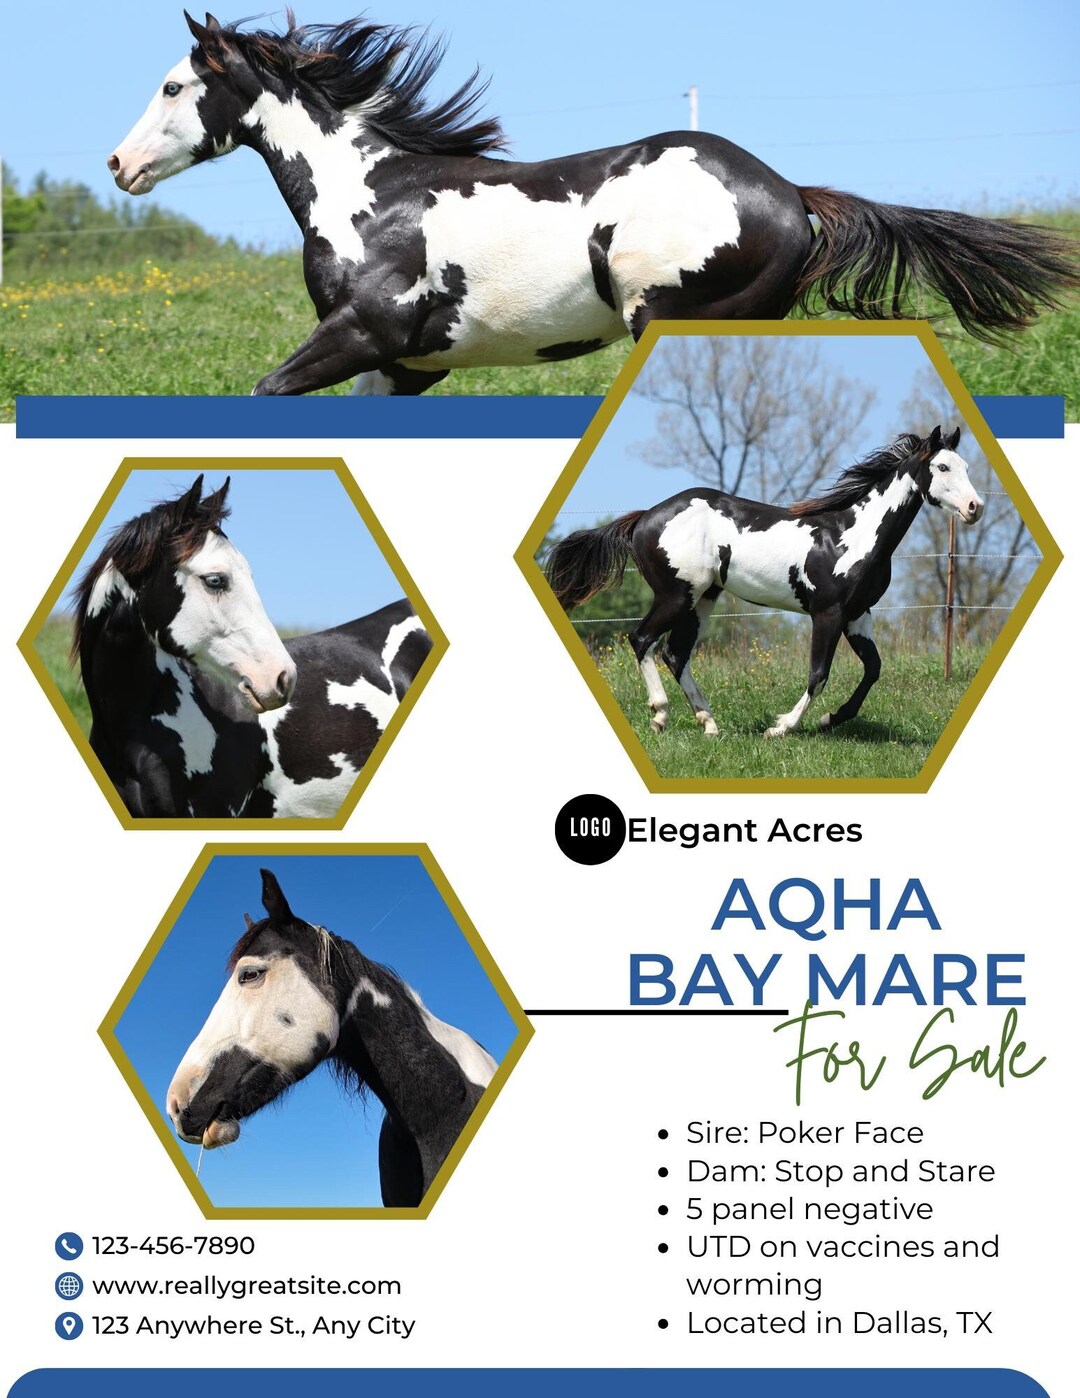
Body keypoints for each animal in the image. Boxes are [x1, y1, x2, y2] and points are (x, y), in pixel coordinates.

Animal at [107, 14, 1078, 396]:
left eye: (172, 85)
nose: (119, 164)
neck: (371, 201)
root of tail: (788, 194)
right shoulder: (407, 367)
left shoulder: (363, 335)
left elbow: (267, 389)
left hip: (668, 316)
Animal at [546, 426, 983, 739]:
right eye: (942, 468)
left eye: (965, 467)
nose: (974, 508)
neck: (855, 534)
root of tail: (644, 518)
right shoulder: (828, 613)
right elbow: (818, 674)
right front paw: (783, 727)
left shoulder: (858, 614)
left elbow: (873, 668)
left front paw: (831, 719)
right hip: (676, 595)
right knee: (642, 640)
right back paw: (659, 715)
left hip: (703, 599)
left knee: (675, 654)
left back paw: (709, 724)